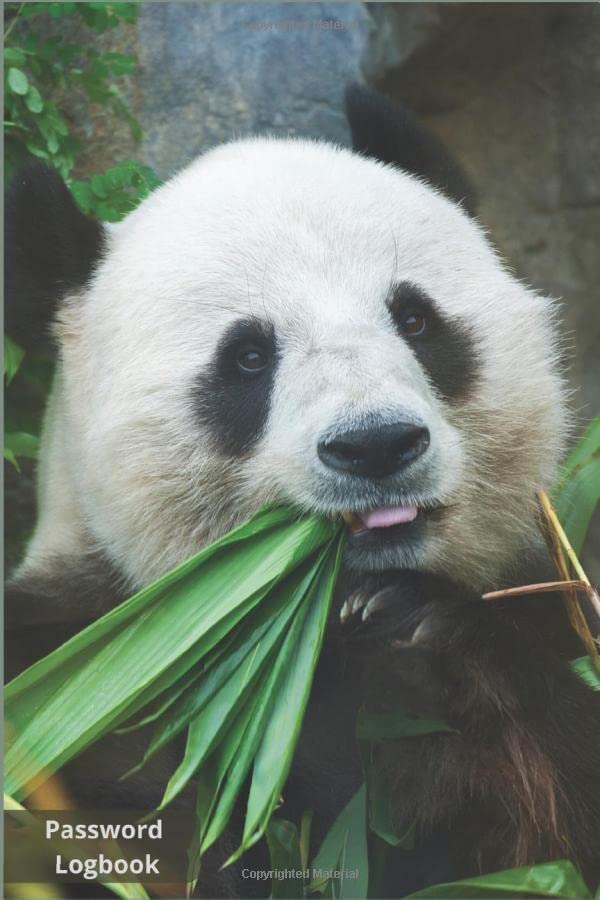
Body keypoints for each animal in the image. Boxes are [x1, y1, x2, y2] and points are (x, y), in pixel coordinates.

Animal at [6, 84, 600, 897]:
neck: (312, 638)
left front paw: (421, 626)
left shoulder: (544, 604)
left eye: (415, 318)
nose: (376, 444)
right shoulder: (75, 665)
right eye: (249, 357)